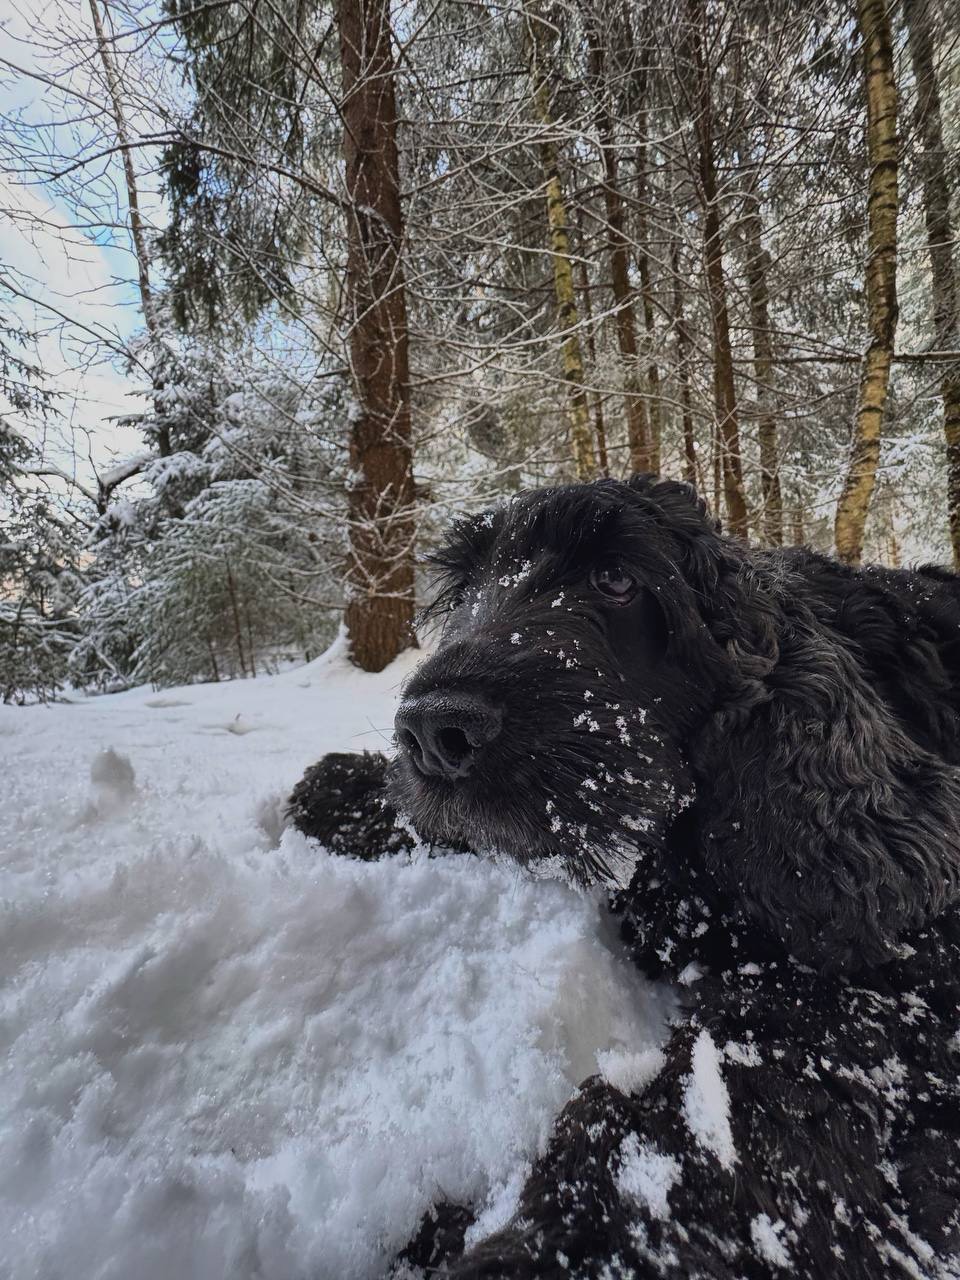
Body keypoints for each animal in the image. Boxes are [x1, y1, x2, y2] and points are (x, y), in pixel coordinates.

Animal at [291, 476, 960, 1274]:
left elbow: (709, 1117)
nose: (431, 730)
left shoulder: (893, 986)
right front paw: (347, 790)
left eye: (616, 579)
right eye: (466, 589)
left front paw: (540, 1242)